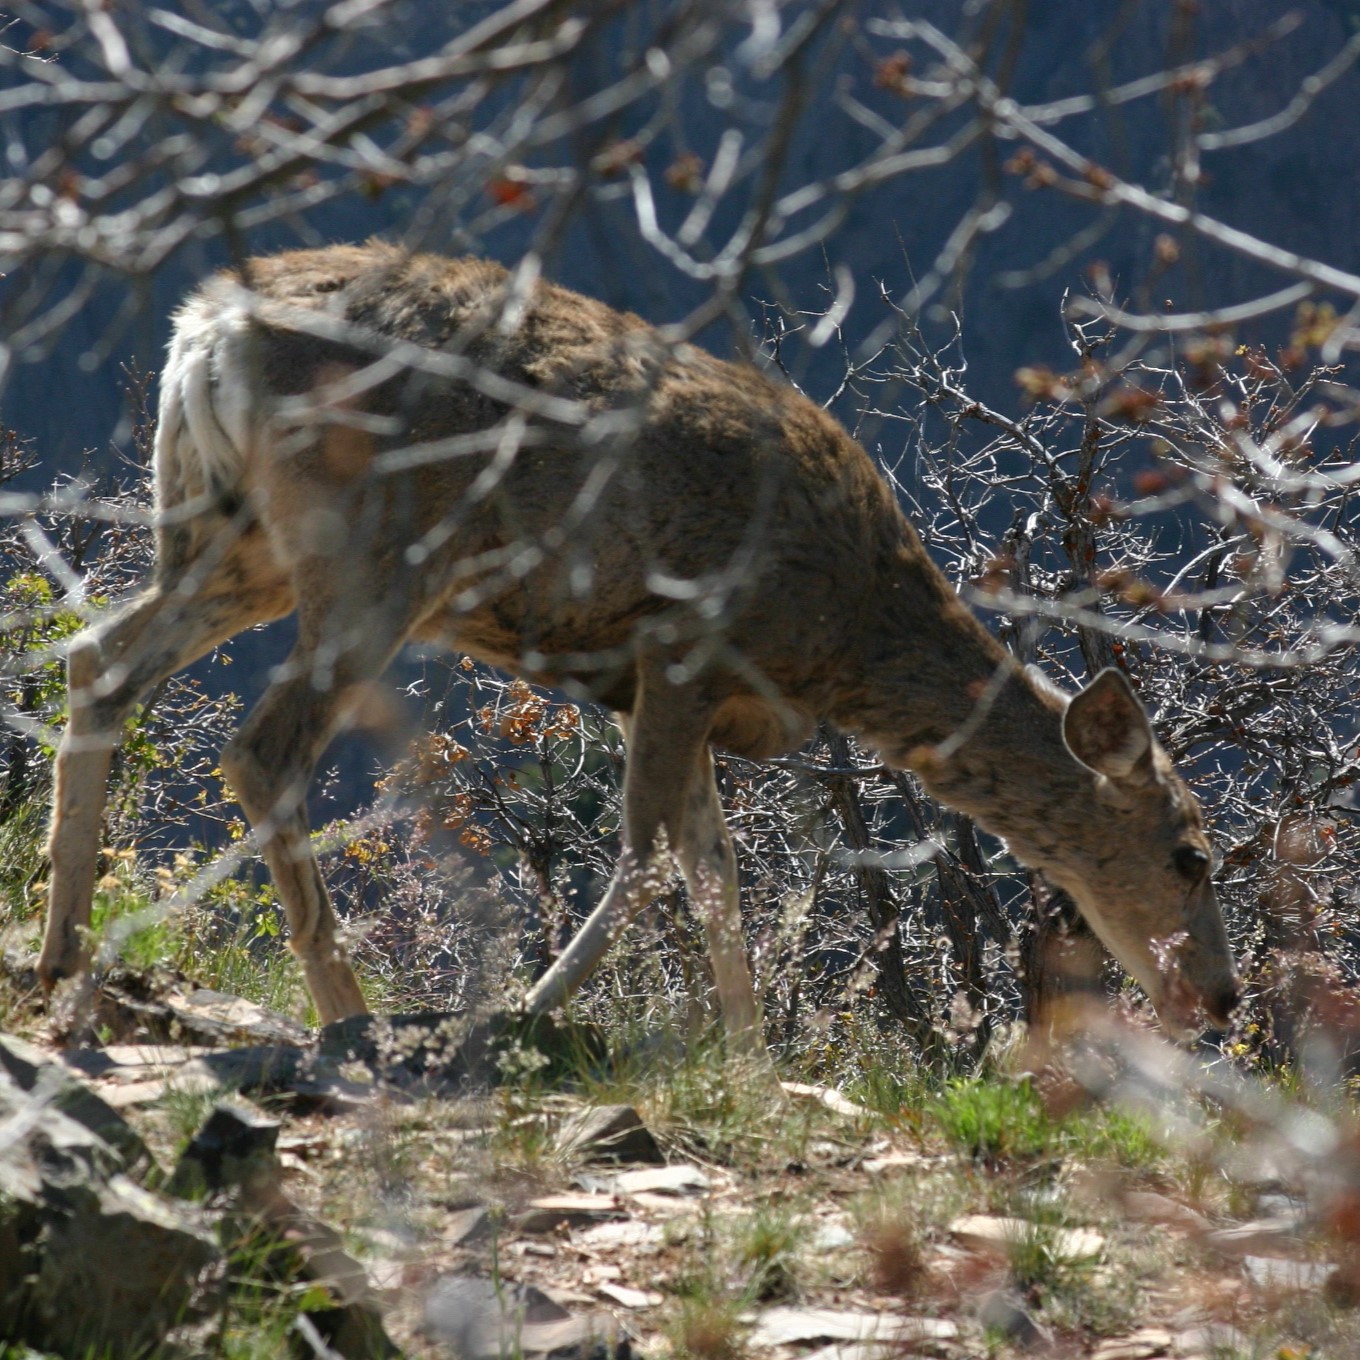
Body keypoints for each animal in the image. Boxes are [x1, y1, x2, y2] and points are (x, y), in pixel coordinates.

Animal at [38, 242, 1240, 1052]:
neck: (843, 640)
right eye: (1190, 853)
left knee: (98, 660)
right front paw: (532, 1011)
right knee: (261, 745)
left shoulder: (684, 692)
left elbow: (713, 868)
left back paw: (63, 958)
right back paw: (348, 1014)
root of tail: (204, 334)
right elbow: (652, 850)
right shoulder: (685, 643)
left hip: (230, 537)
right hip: (370, 551)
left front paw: (754, 1059)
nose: (1222, 1000)